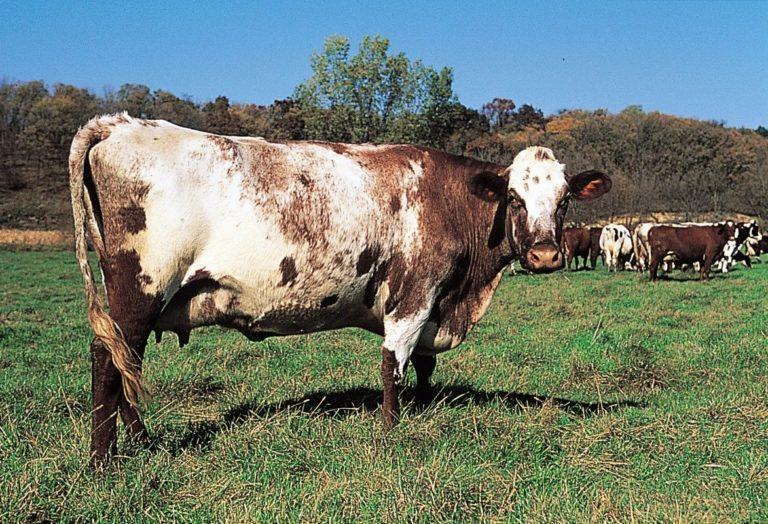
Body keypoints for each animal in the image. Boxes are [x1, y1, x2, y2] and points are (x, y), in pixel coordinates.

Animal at [69, 114, 611, 464]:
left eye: (564, 200)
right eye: (515, 199)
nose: (546, 255)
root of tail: (120, 123)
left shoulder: (433, 304)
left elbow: (423, 365)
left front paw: (424, 406)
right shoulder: (414, 294)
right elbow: (394, 365)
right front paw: (390, 435)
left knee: (125, 364)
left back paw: (139, 444)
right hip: (140, 290)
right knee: (107, 361)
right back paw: (101, 461)